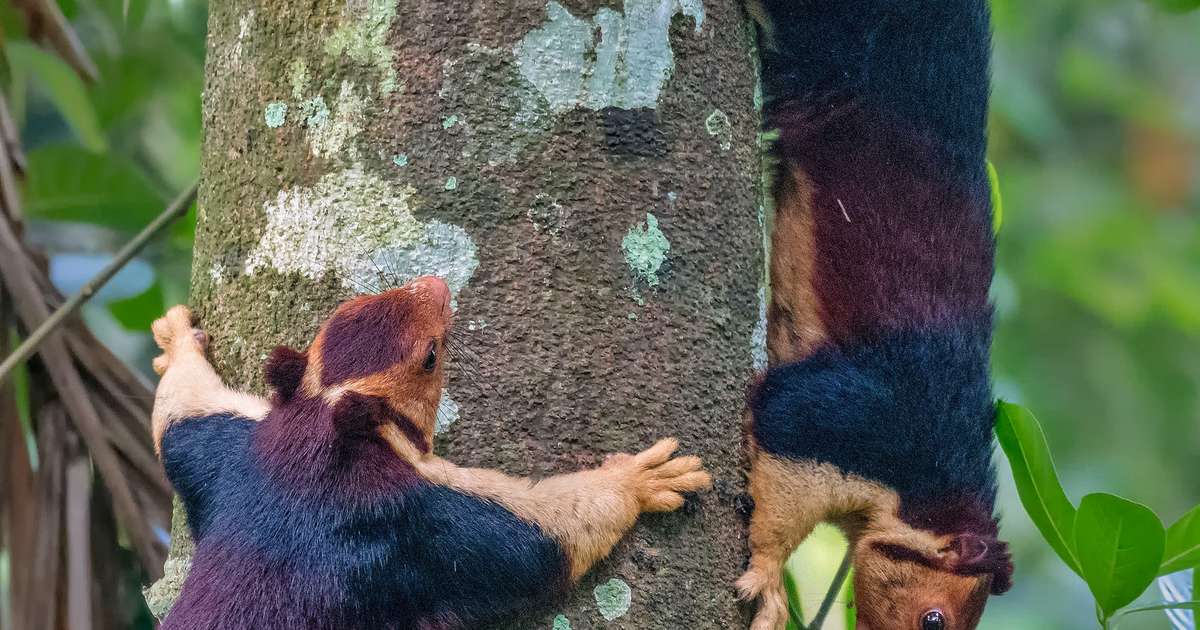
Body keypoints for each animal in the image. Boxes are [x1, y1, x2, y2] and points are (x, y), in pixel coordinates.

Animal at [149, 275, 711, 629]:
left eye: (349, 307)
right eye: (430, 357)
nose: (437, 285)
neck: (320, 433)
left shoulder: (233, 452)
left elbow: (179, 413)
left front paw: (177, 340)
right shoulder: (423, 521)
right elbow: (550, 536)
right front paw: (641, 480)